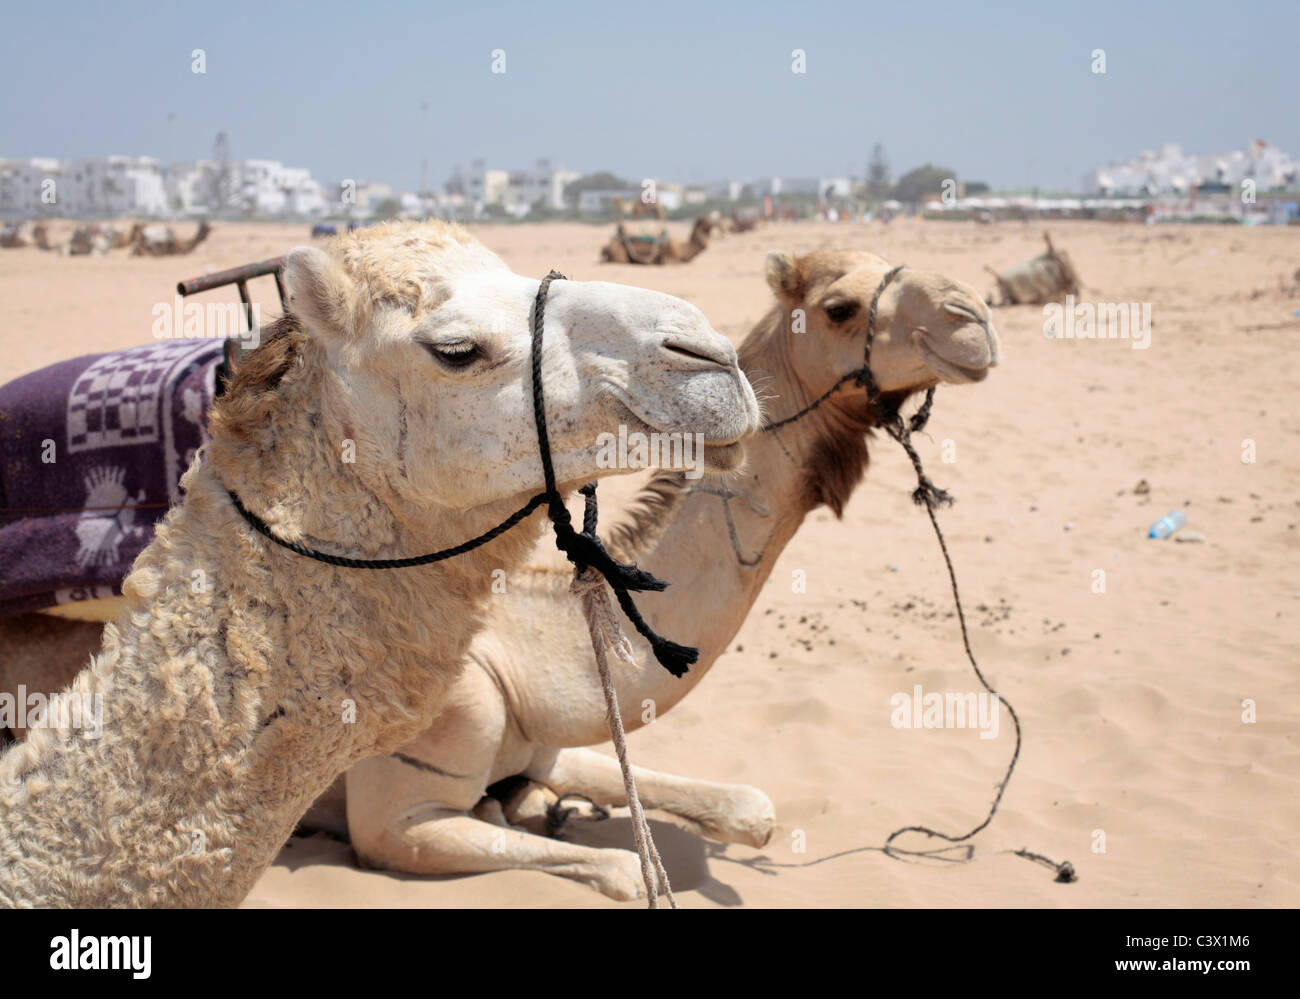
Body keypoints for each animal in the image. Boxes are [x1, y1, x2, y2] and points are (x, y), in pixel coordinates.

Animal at [1, 247, 997, 901]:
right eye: (841, 306)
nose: (977, 316)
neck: (520, 646)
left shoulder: (551, 736)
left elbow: (745, 803)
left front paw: (557, 801)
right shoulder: (399, 816)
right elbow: (627, 865)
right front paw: (563, 824)